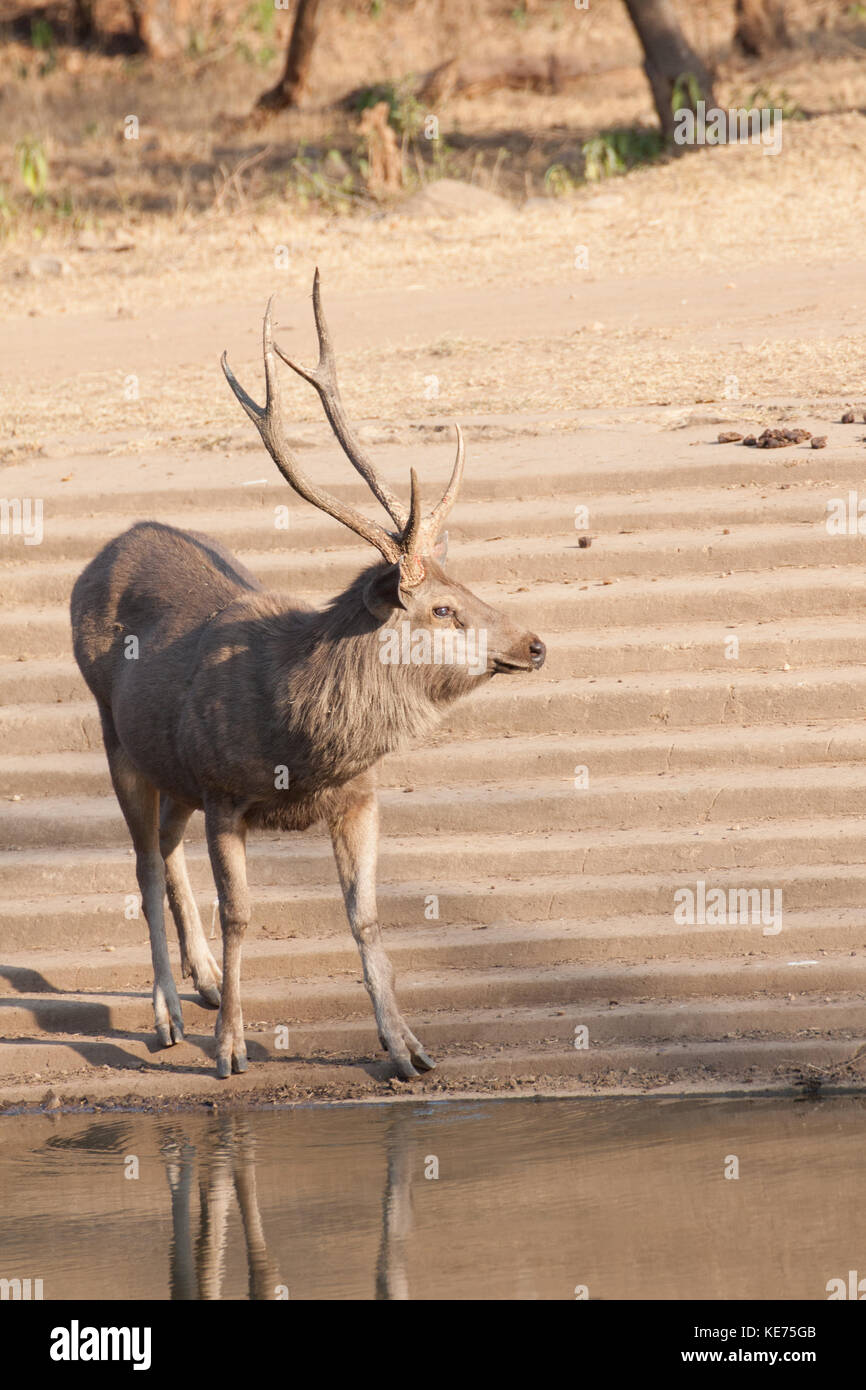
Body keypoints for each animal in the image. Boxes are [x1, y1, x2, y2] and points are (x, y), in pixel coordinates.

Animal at [70, 270, 546, 1081]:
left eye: (471, 585)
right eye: (443, 607)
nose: (536, 644)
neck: (299, 741)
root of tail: (104, 552)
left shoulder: (358, 794)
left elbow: (366, 916)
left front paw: (407, 1047)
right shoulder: (224, 792)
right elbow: (242, 915)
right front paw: (231, 1048)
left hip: (170, 766)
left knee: (162, 846)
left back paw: (200, 983)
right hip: (117, 736)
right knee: (141, 863)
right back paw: (168, 1015)